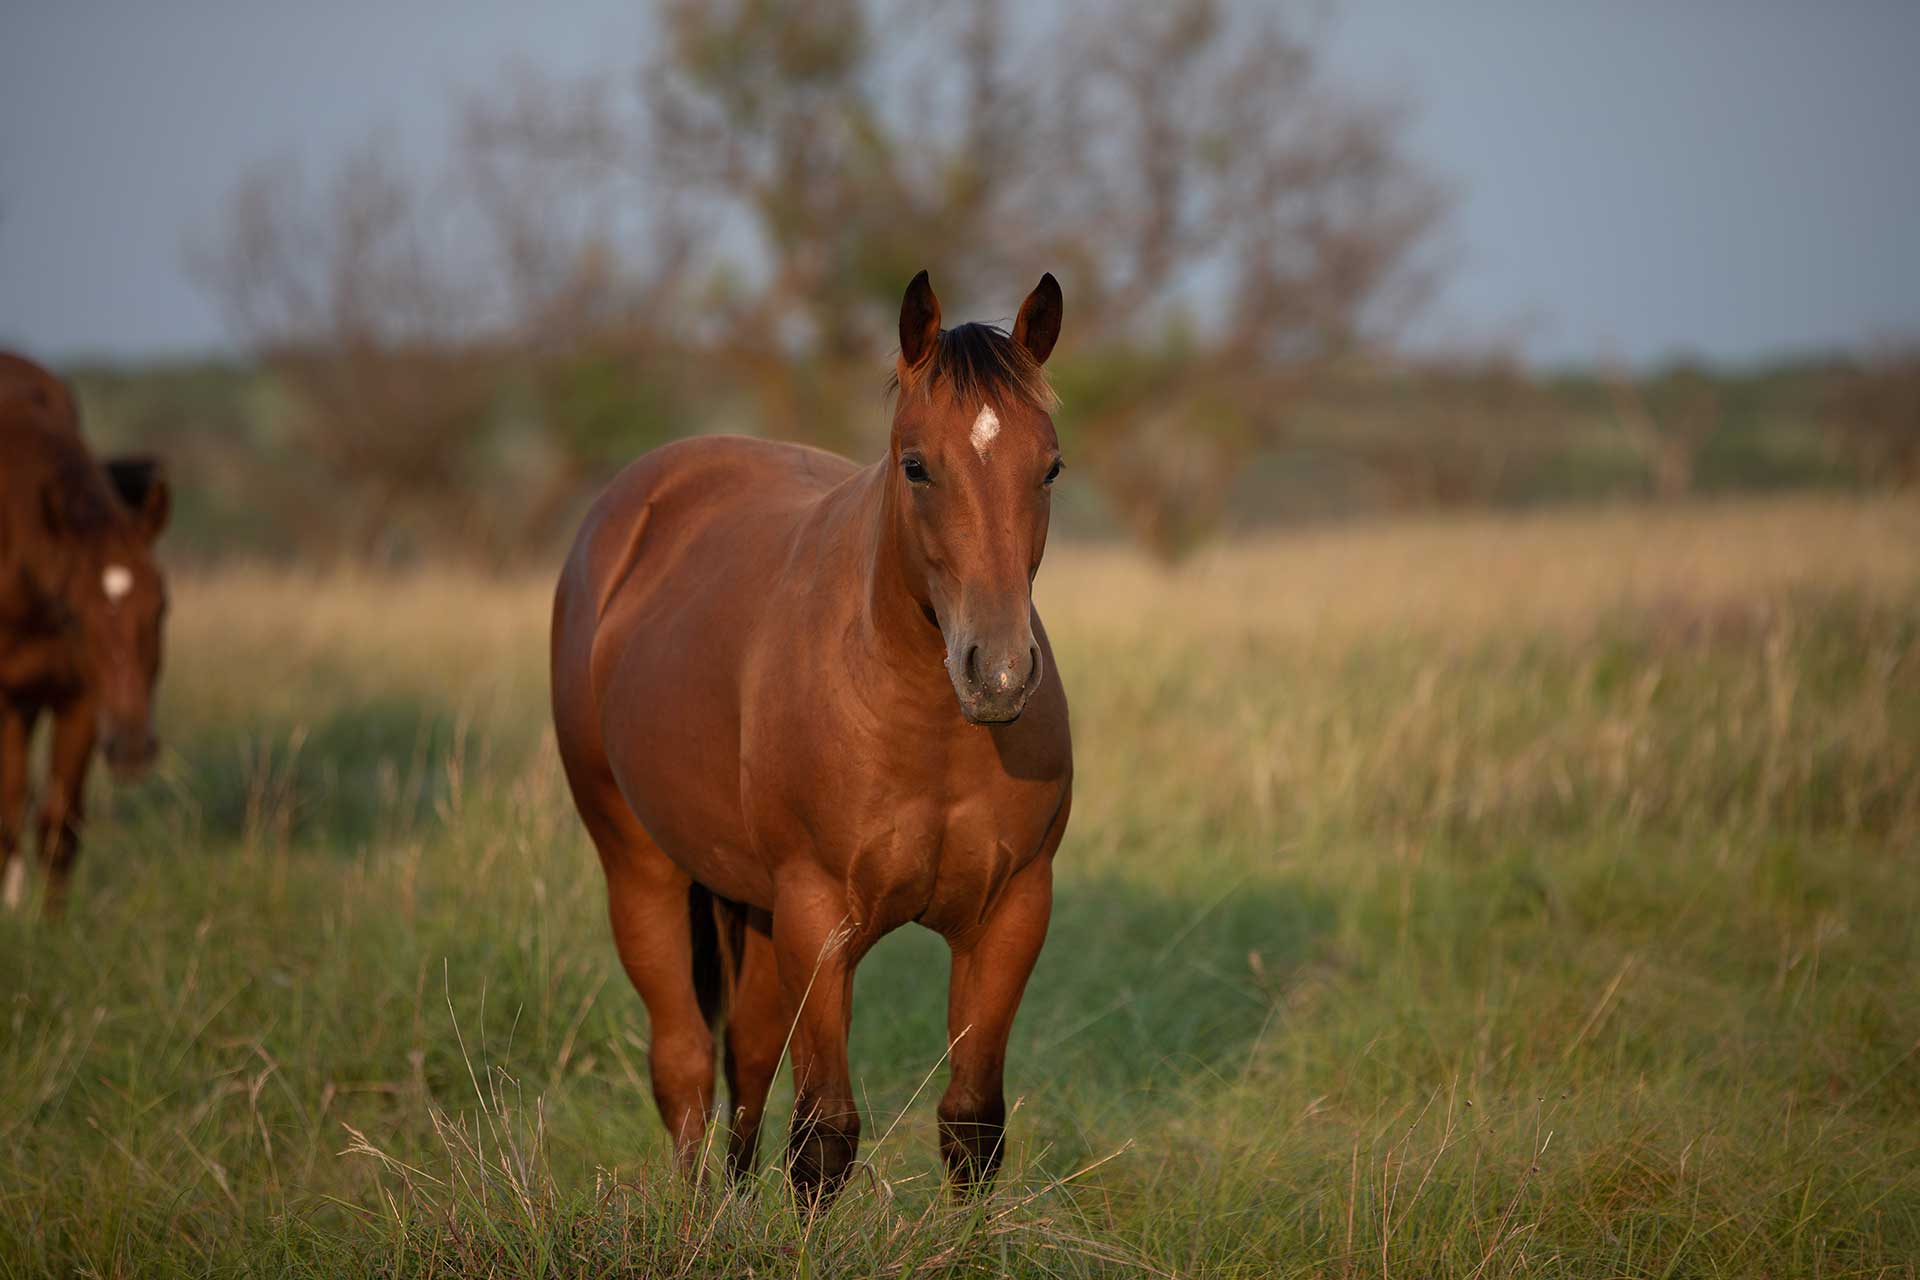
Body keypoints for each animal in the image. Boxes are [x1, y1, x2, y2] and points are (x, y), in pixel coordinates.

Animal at [0, 355, 171, 916]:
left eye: (162, 608)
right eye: (75, 615)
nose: (134, 746)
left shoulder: (82, 698)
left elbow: (60, 823)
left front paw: (53, 926)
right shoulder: (4, 696)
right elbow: (8, 814)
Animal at [552, 271, 1072, 1203]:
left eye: (1048, 466)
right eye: (916, 465)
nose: (1001, 675)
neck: (927, 729)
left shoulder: (1012, 913)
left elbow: (972, 1124)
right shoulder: (818, 915)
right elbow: (823, 1137)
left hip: (751, 906)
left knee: (746, 1061)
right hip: (640, 868)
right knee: (684, 1068)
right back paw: (694, 1217)